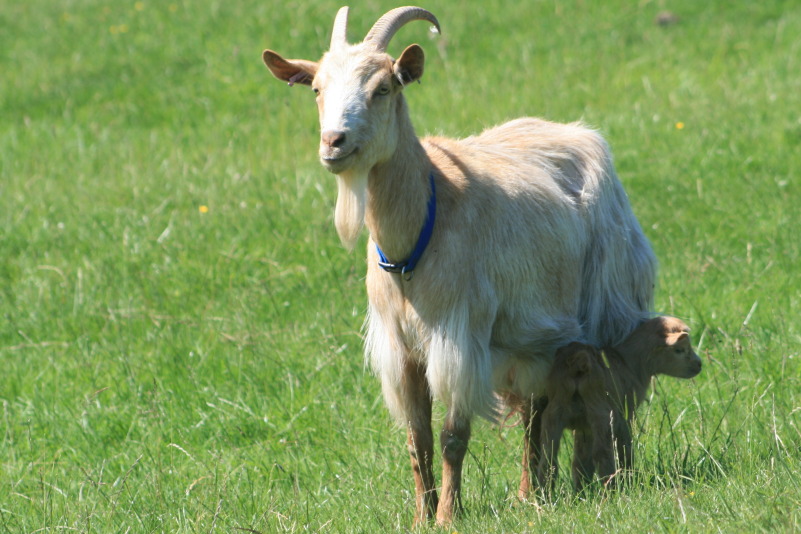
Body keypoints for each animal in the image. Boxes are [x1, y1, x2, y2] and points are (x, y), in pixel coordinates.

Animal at [262, 6, 657, 525]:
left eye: (383, 88)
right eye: (316, 89)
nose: (334, 143)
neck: (415, 239)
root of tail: (577, 131)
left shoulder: (460, 337)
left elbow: (453, 437)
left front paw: (449, 516)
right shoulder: (401, 349)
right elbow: (418, 441)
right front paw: (420, 517)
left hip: (597, 305)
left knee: (567, 401)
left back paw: (557, 487)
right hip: (529, 335)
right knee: (536, 407)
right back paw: (528, 493)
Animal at [537, 316, 702, 495]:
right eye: (679, 350)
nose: (699, 365)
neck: (629, 364)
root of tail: (578, 361)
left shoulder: (584, 427)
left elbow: (581, 460)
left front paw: (582, 491)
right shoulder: (625, 415)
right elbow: (625, 447)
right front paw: (628, 477)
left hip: (554, 414)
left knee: (548, 458)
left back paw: (543, 494)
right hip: (601, 414)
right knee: (602, 453)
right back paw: (611, 490)